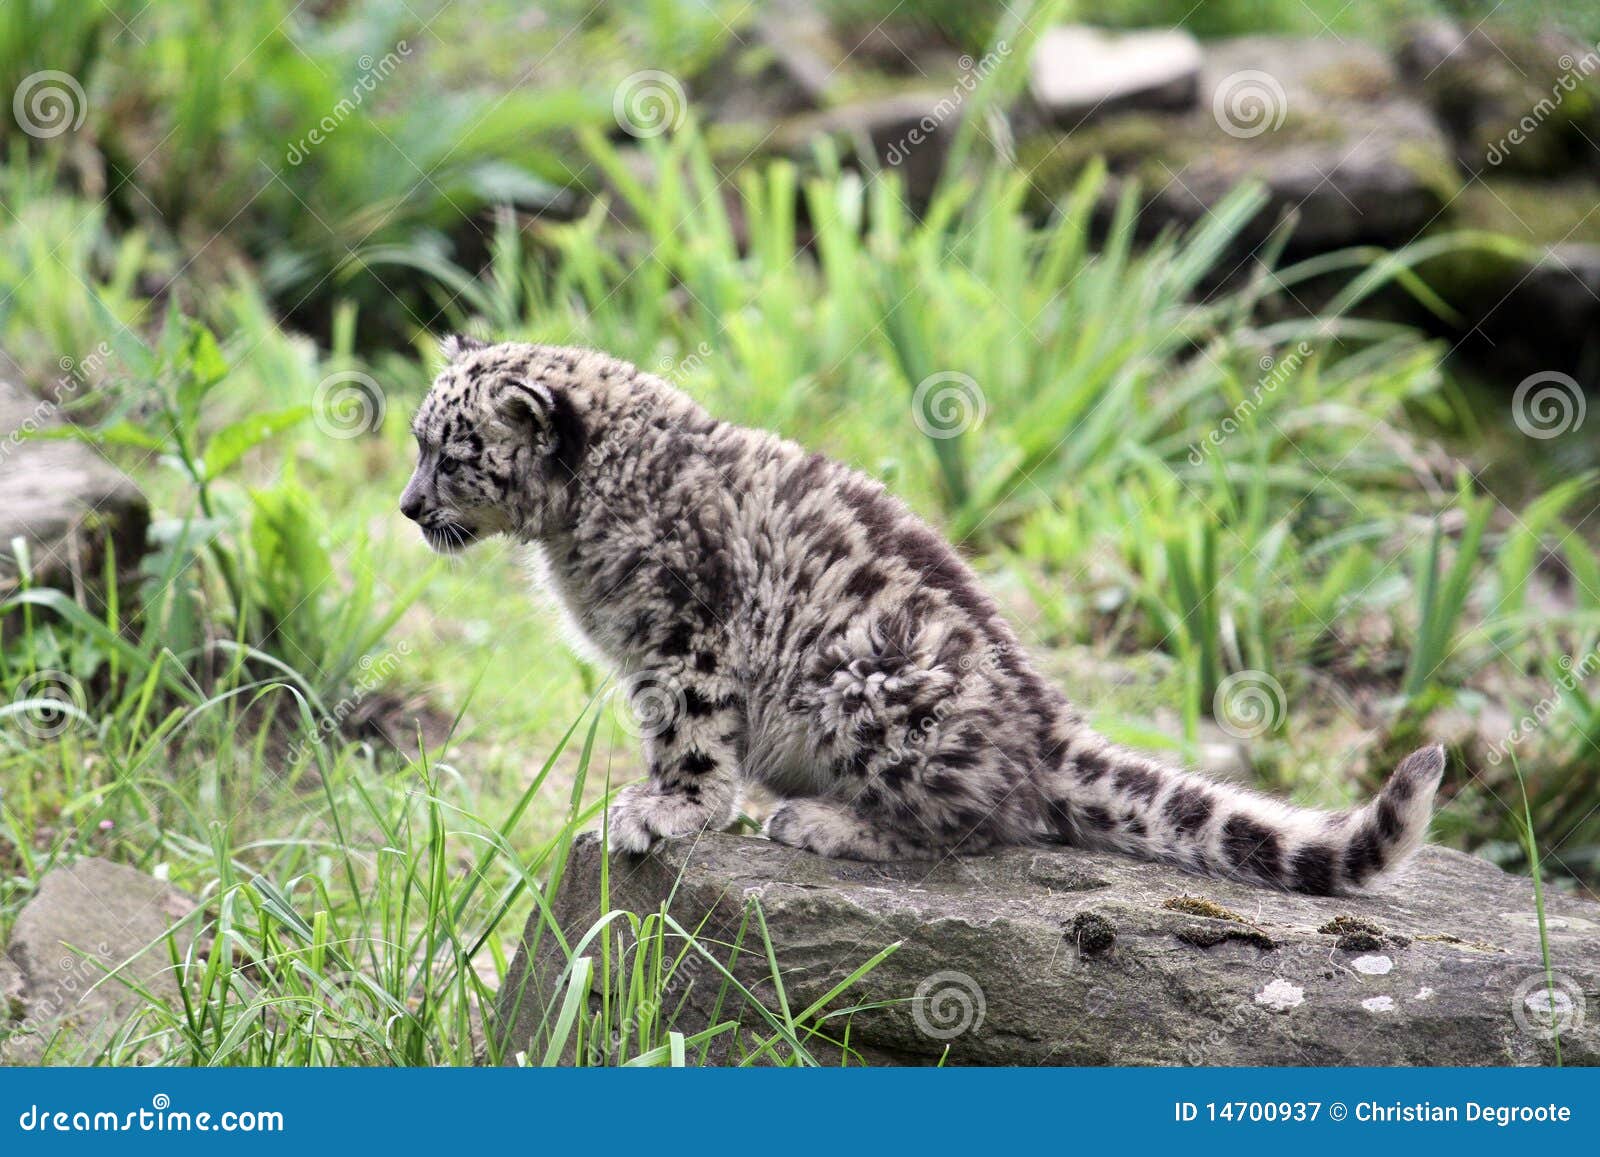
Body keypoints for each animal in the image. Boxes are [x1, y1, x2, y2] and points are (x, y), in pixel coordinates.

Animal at [399, 335, 1446, 894]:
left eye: (451, 453)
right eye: (416, 441)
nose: (407, 508)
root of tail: (1045, 721)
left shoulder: (686, 636)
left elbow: (691, 734)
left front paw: (667, 810)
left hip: (871, 680)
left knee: (982, 823)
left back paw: (822, 822)